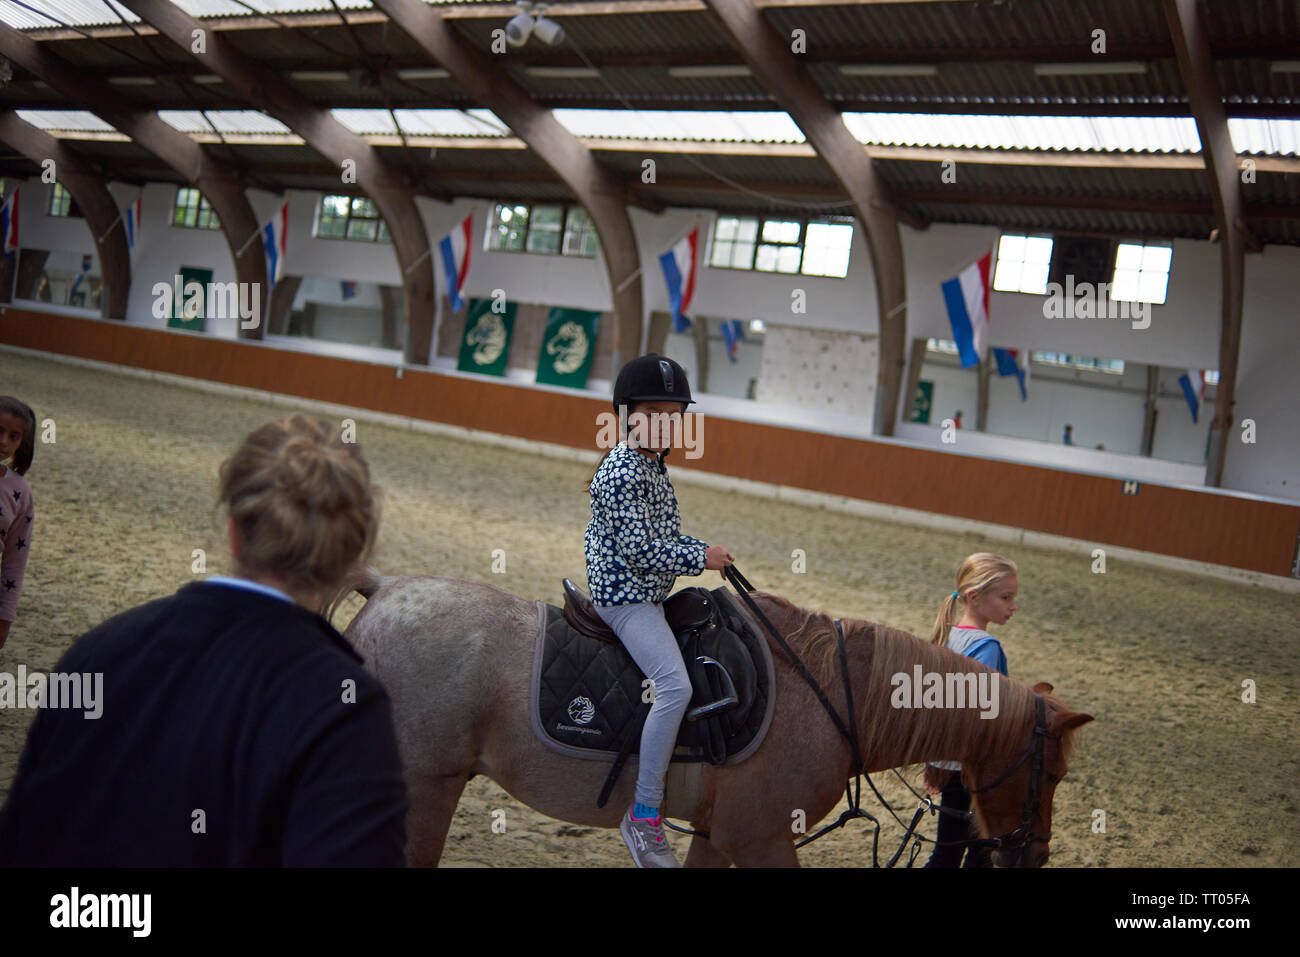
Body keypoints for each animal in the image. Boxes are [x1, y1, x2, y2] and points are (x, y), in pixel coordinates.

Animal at [339, 573, 1093, 867]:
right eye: (1053, 773)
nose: (1036, 852)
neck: (828, 694)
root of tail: (387, 588)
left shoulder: (716, 831)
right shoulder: (760, 836)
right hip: (428, 787)